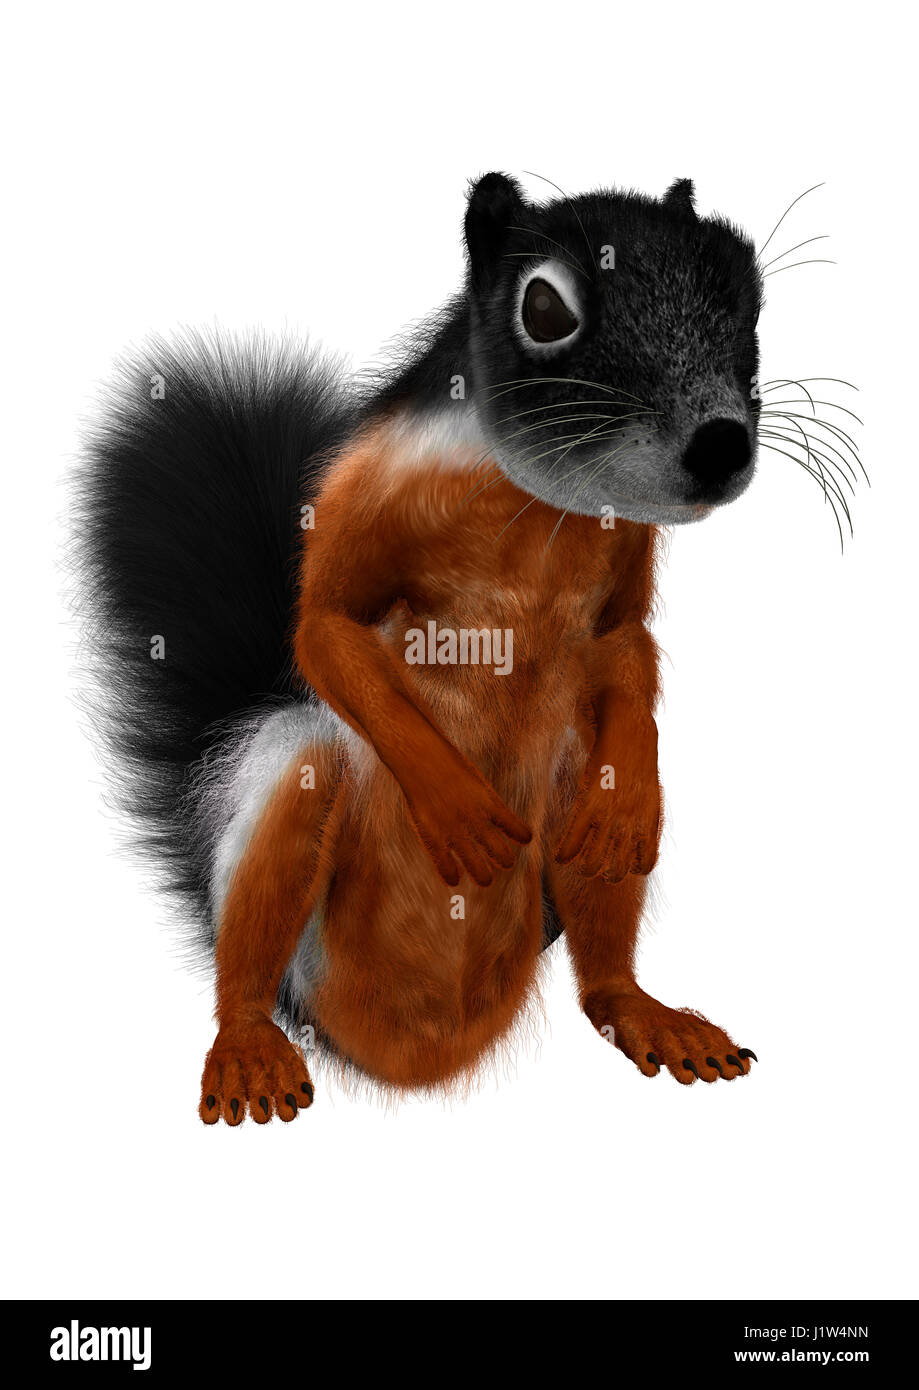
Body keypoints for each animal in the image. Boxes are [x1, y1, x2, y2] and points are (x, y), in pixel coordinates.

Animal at [79, 171, 770, 1124]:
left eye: (747, 292)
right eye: (544, 307)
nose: (720, 446)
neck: (540, 504)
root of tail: (408, 1060)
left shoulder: (624, 557)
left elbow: (622, 641)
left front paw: (636, 785)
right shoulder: (372, 487)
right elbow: (326, 625)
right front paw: (453, 803)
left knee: (595, 912)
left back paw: (642, 1004)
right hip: (301, 916)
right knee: (299, 781)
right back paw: (248, 1042)